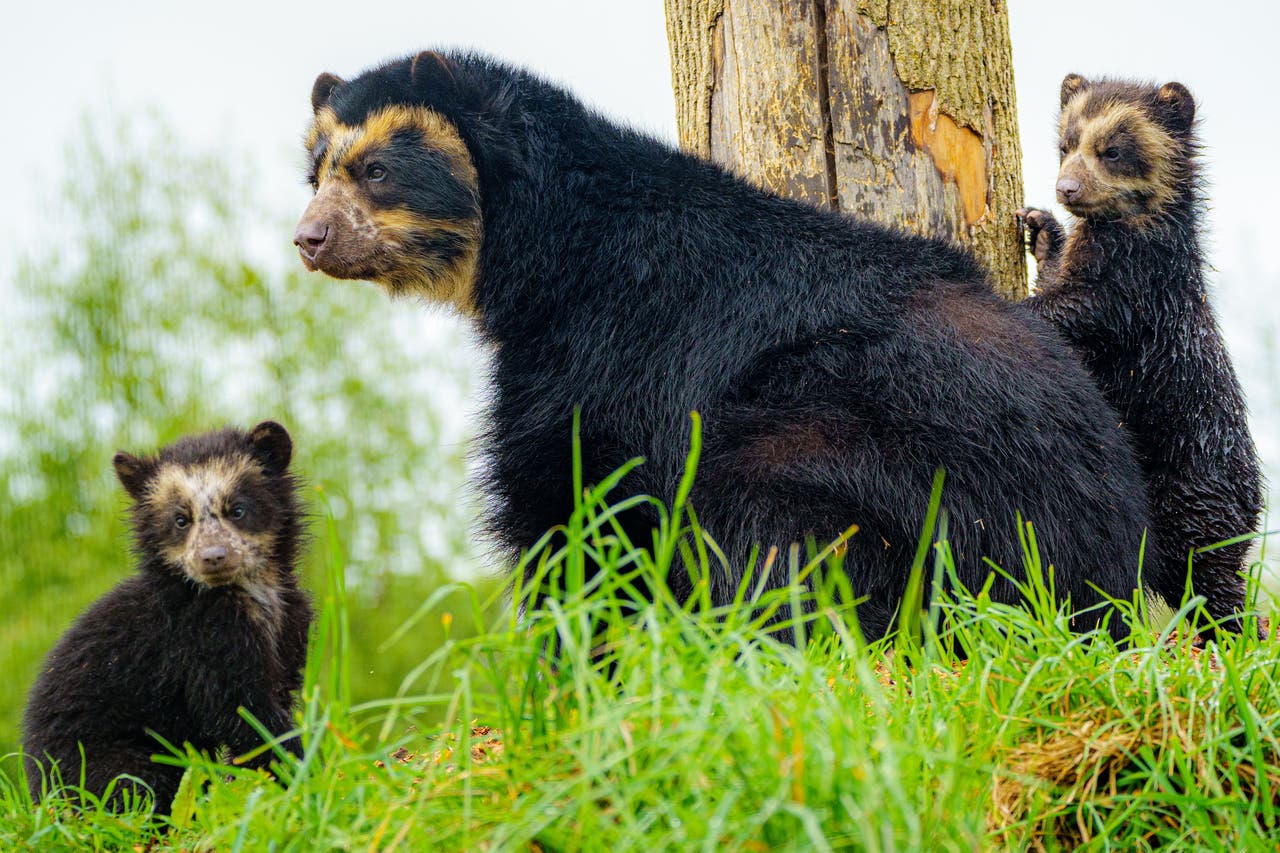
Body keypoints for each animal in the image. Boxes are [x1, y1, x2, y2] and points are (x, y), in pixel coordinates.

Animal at [22, 422, 312, 815]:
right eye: (181, 520)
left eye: (237, 509)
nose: (213, 557)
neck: (246, 591)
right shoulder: (202, 640)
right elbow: (243, 710)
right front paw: (297, 775)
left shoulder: (290, 626)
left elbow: (272, 696)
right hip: (95, 761)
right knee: (135, 785)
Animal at [293, 50, 1150, 643]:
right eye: (314, 174)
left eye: (377, 170)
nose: (309, 238)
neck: (543, 250)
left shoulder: (606, 342)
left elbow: (572, 493)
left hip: (866, 456)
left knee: (768, 536)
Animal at [1018, 75, 1263, 634]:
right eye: (1066, 143)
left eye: (1112, 150)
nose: (1066, 189)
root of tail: (1255, 497)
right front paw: (1042, 231)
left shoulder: (1135, 292)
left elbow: (1075, 311)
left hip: (1193, 486)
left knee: (1207, 575)